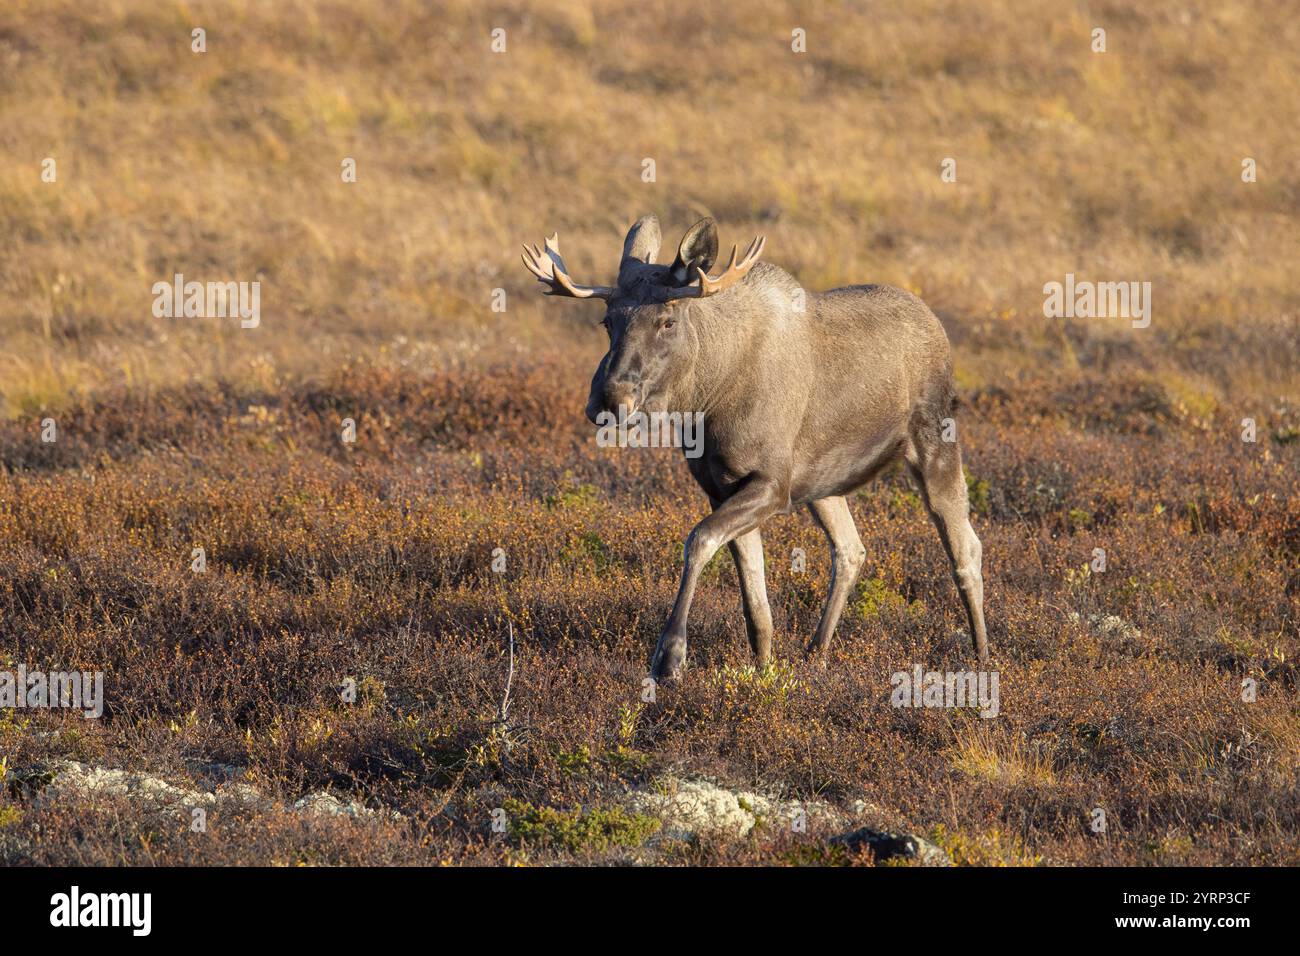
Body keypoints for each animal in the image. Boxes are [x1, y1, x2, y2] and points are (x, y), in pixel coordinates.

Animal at [522, 214, 989, 683]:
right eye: (607, 322)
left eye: (667, 321)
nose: (607, 399)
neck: (705, 399)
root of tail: (935, 323)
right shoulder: (723, 488)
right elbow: (754, 595)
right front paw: (763, 669)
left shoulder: (771, 485)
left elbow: (699, 540)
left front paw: (670, 656)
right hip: (824, 483)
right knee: (851, 550)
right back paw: (816, 652)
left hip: (935, 444)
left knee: (966, 548)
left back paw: (982, 655)